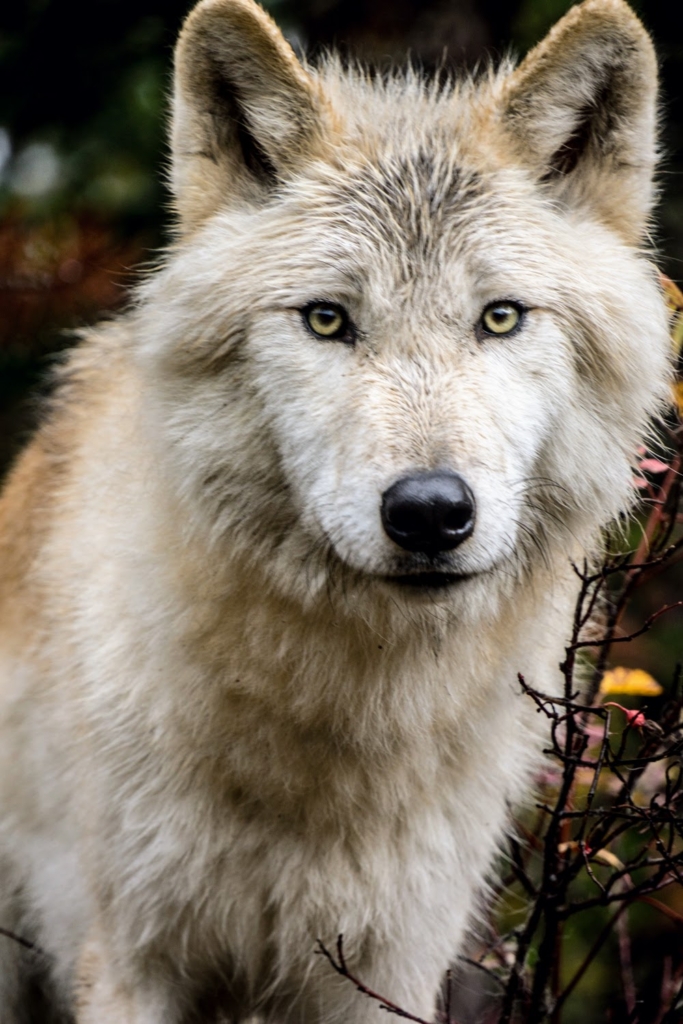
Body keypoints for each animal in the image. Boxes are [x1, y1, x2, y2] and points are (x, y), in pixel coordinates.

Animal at [0, 0, 672, 1021]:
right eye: (326, 319)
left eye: (500, 317)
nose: (430, 512)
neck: (345, 722)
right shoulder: (131, 963)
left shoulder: (385, 970)